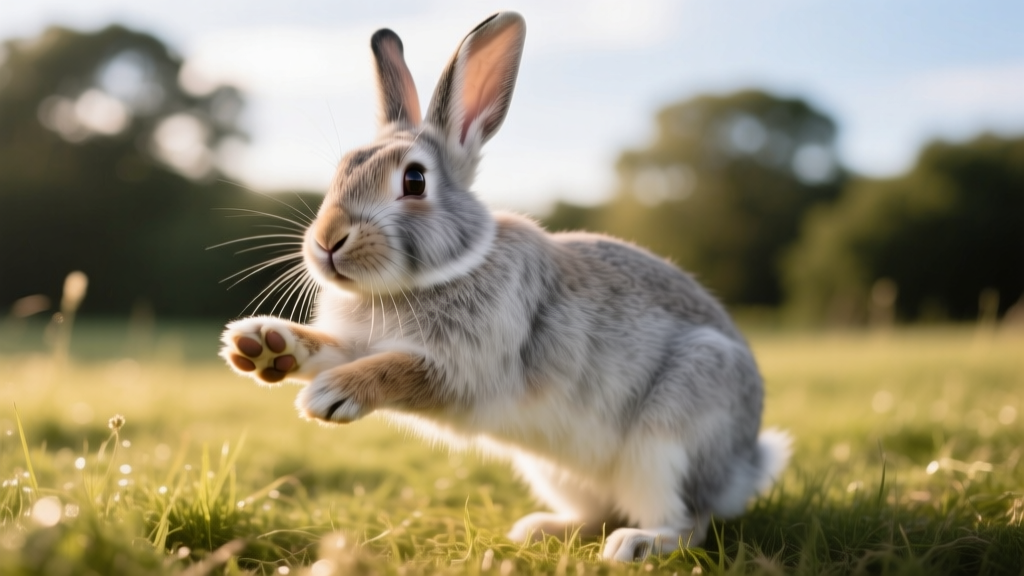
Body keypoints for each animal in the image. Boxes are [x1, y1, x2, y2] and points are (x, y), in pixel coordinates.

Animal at [220, 11, 791, 562]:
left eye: (414, 181)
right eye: (341, 170)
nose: (327, 242)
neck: (438, 273)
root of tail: (744, 465)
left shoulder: (464, 368)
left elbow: (397, 370)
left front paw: (330, 395)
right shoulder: (367, 341)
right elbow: (337, 350)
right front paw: (264, 346)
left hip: (671, 441)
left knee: (689, 522)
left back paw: (638, 544)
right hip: (557, 471)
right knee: (598, 512)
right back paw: (539, 530)